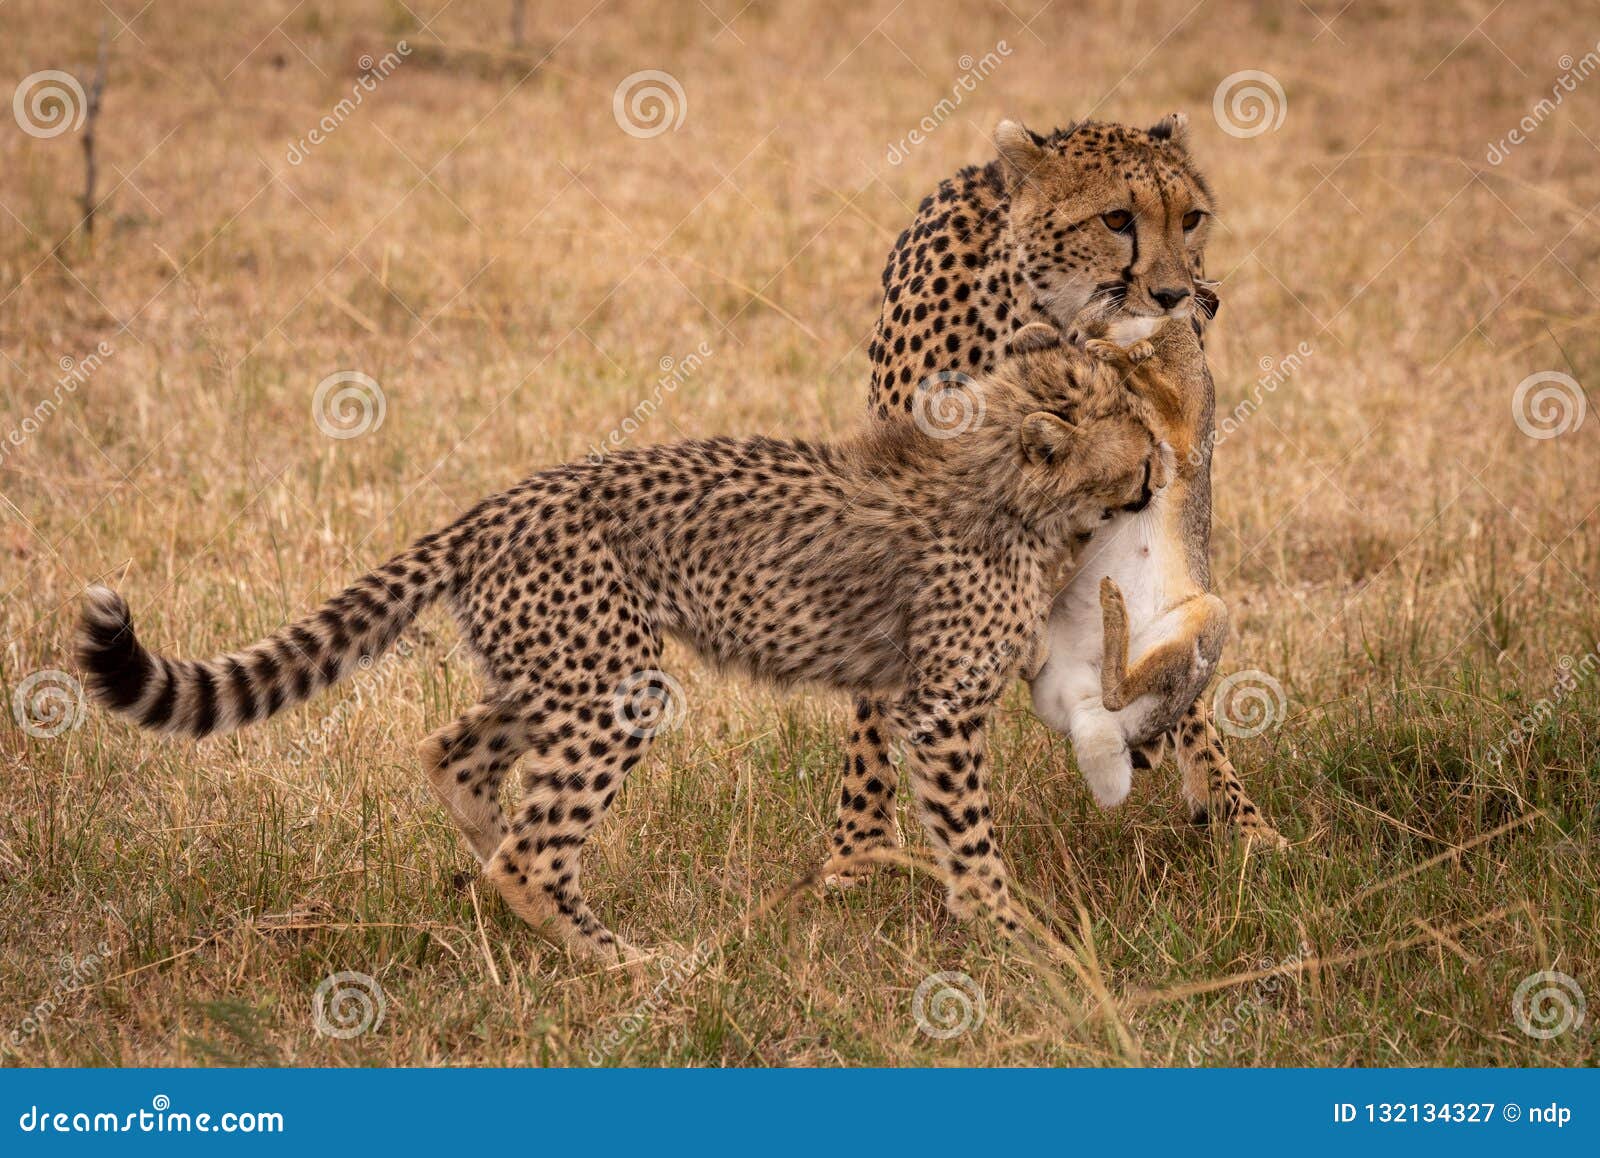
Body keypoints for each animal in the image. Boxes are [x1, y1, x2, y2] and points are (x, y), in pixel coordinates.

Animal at [77, 322, 1169, 965]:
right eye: (1135, 432)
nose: (1164, 463)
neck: (1014, 485)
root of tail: (496, 505)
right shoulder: (937, 709)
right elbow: (974, 842)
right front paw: (1024, 943)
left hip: (564, 670)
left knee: (453, 754)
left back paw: (498, 883)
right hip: (614, 685)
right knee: (531, 845)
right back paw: (611, 957)